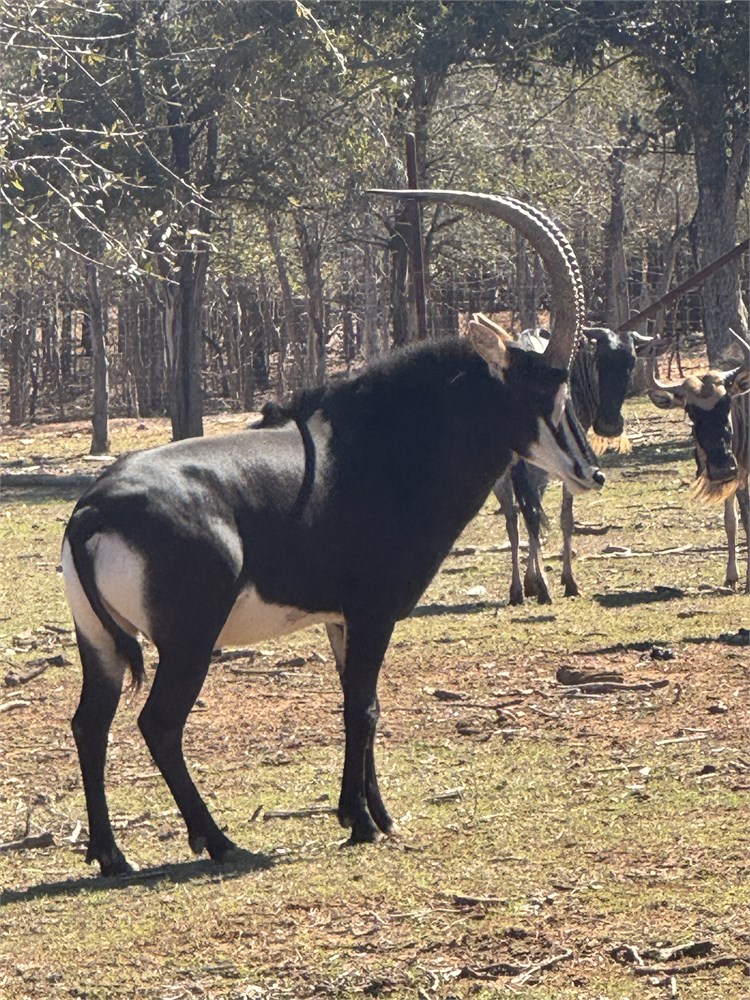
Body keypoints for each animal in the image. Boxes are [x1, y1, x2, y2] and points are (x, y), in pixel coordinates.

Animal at [61, 189, 604, 876]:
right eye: (549, 394)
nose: (592, 471)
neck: (377, 445)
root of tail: (93, 510)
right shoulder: (373, 611)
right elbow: (362, 706)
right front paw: (360, 822)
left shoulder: (341, 620)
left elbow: (360, 702)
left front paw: (379, 814)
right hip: (189, 638)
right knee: (159, 723)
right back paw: (219, 841)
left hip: (99, 643)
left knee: (89, 723)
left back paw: (112, 855)